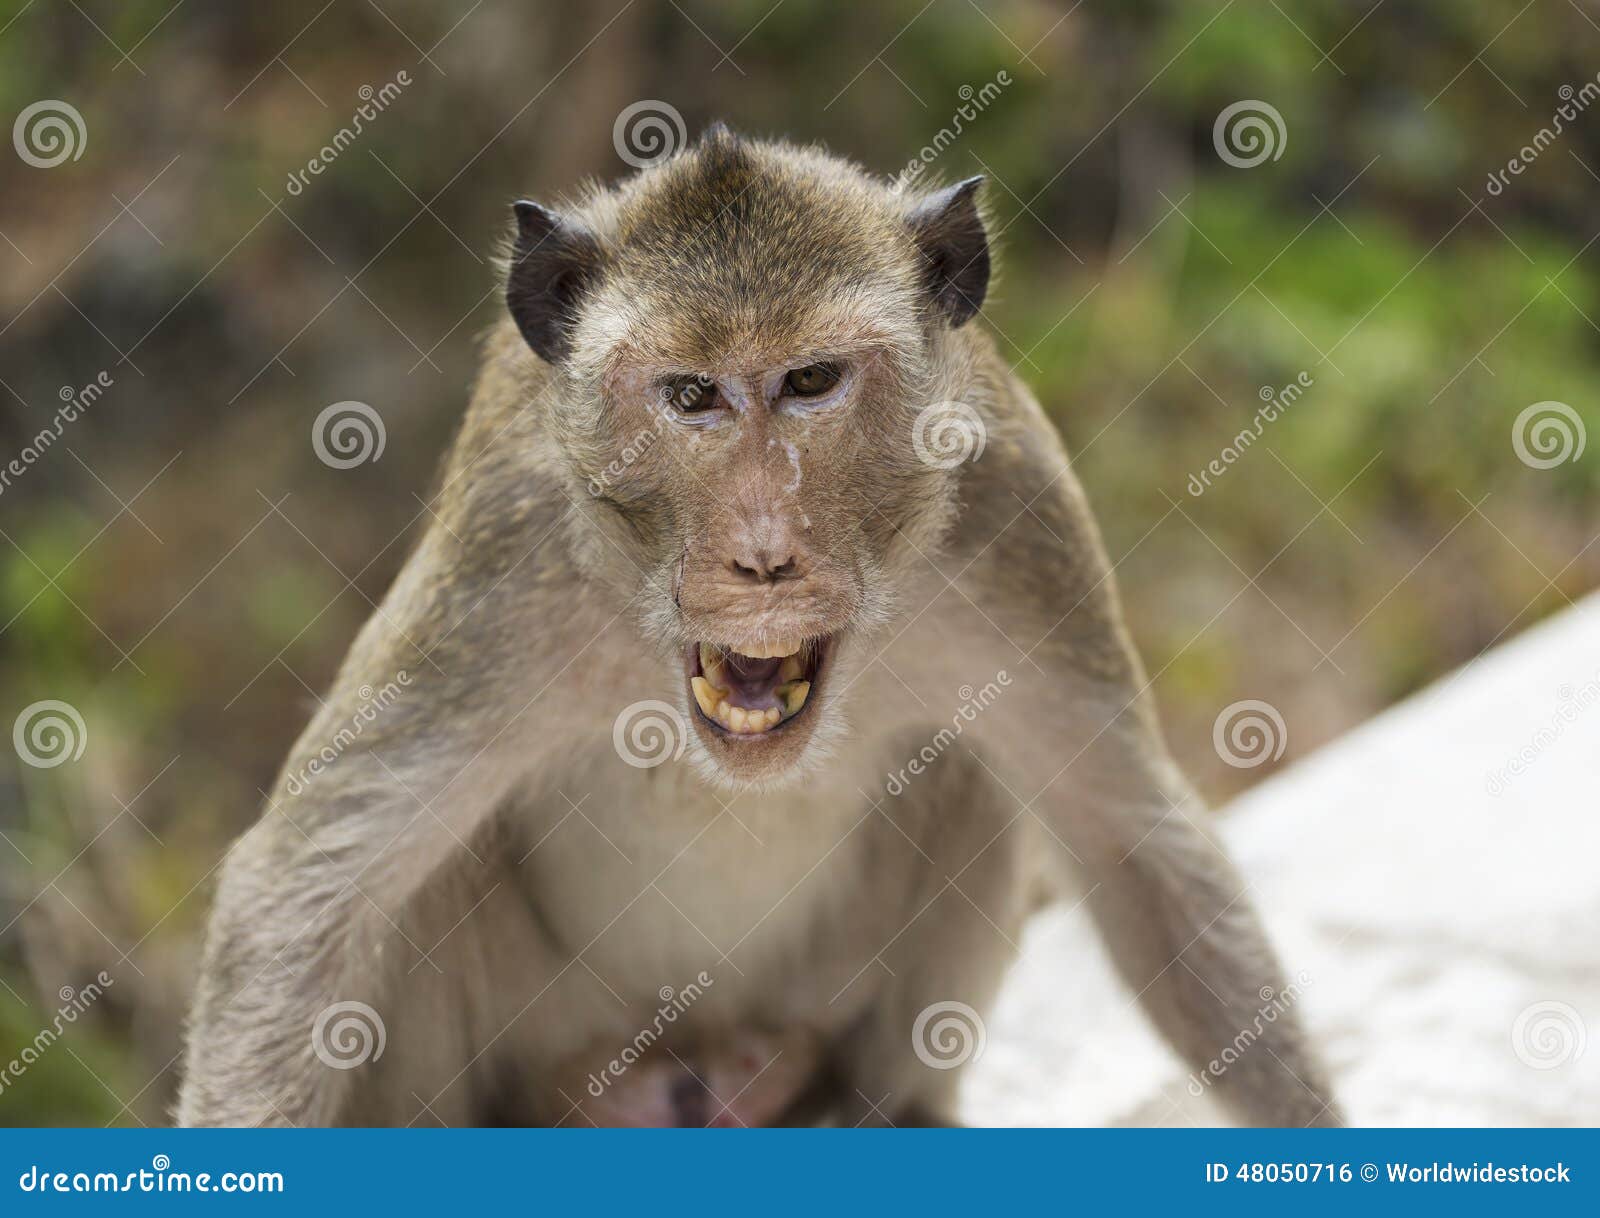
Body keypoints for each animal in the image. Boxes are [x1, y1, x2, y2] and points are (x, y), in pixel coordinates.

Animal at [178, 124, 1343, 1128]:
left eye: (810, 381)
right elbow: (307, 886)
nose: (762, 551)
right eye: (692, 394)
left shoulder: (1018, 516)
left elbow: (1130, 843)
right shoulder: (502, 565)